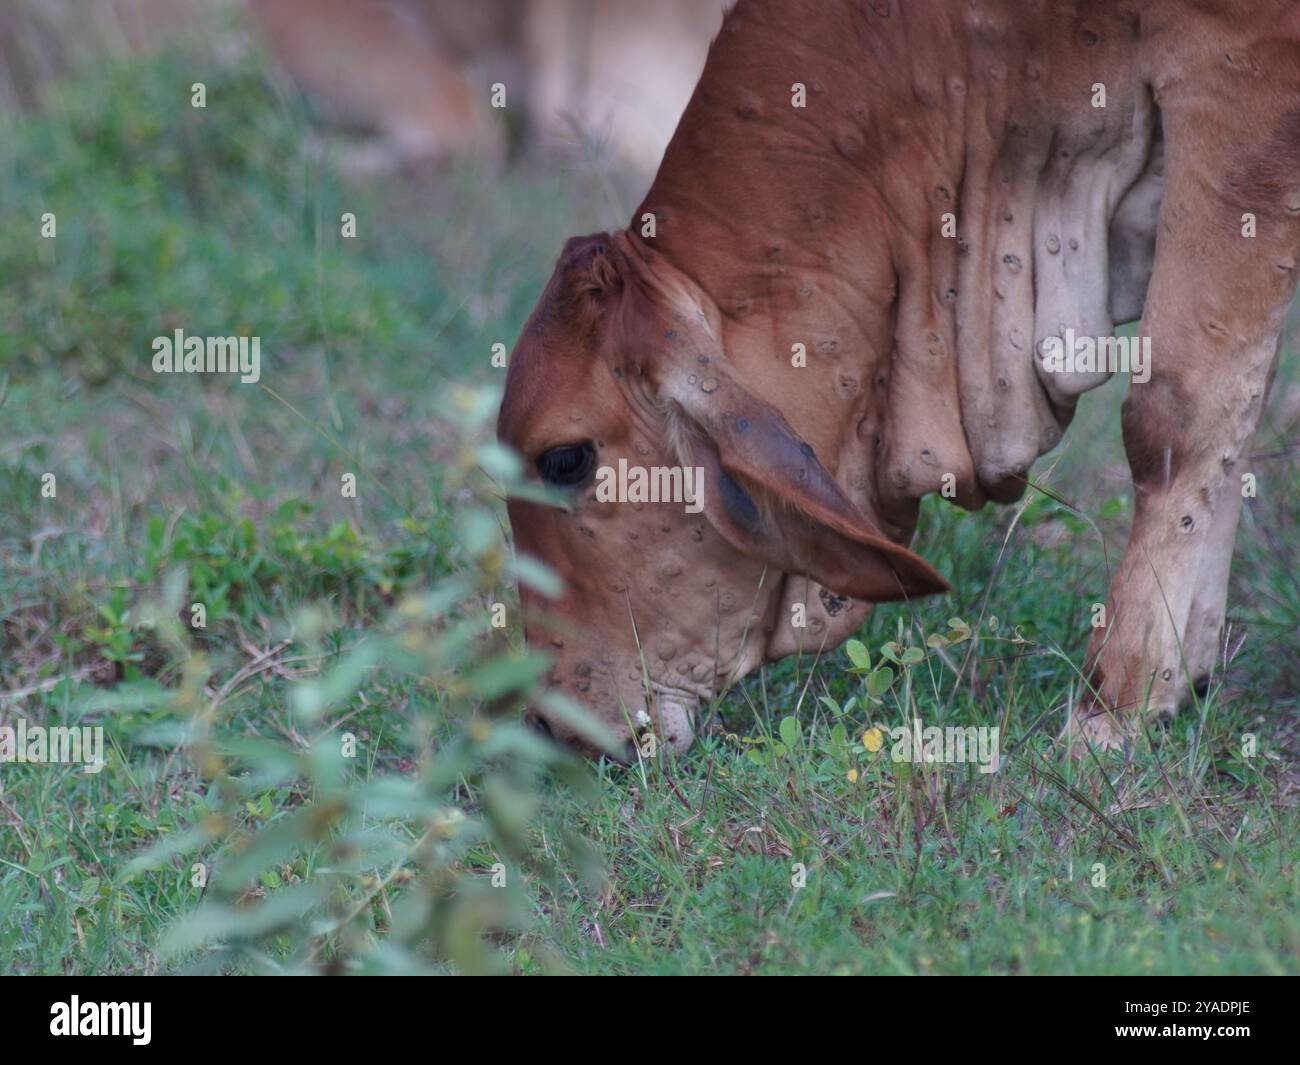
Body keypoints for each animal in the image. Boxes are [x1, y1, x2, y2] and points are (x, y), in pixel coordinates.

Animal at [498, 0, 1300, 759]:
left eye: (564, 459)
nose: (547, 723)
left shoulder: (1239, 71)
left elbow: (1176, 414)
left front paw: (1116, 706)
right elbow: (1240, 406)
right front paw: (1186, 672)